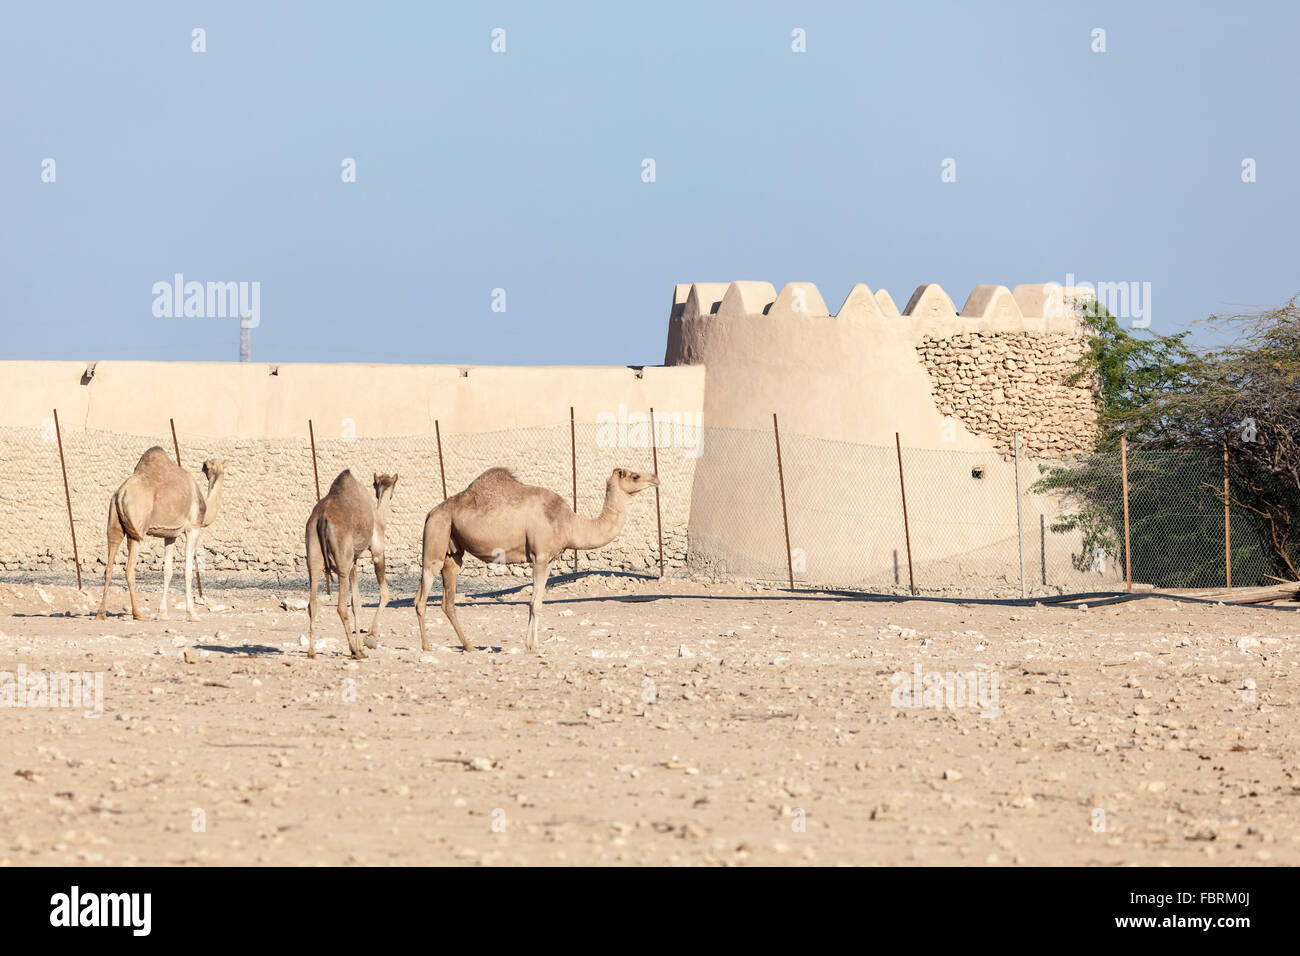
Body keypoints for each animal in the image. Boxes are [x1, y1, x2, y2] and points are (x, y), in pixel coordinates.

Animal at [95, 447, 227, 622]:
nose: (218, 470)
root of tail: (122, 493)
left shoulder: (170, 535)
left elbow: (167, 571)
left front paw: (162, 613)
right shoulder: (193, 527)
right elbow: (188, 571)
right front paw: (192, 614)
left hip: (113, 523)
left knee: (109, 566)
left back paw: (101, 613)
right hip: (137, 529)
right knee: (129, 569)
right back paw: (138, 614)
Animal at [305, 470, 398, 660]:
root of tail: (322, 517)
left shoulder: (353, 561)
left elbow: (356, 602)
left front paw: (362, 645)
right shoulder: (376, 551)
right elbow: (384, 594)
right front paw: (369, 638)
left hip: (314, 552)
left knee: (312, 601)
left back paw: (312, 652)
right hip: (342, 560)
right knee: (341, 607)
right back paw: (354, 651)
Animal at [415, 466, 658, 653]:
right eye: (635, 476)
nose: (655, 478)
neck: (569, 523)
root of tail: (430, 513)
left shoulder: (549, 560)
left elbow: (539, 601)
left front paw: (533, 644)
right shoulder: (539, 558)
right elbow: (533, 603)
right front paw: (531, 646)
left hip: (453, 551)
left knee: (447, 600)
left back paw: (469, 646)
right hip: (436, 535)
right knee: (423, 594)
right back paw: (426, 646)